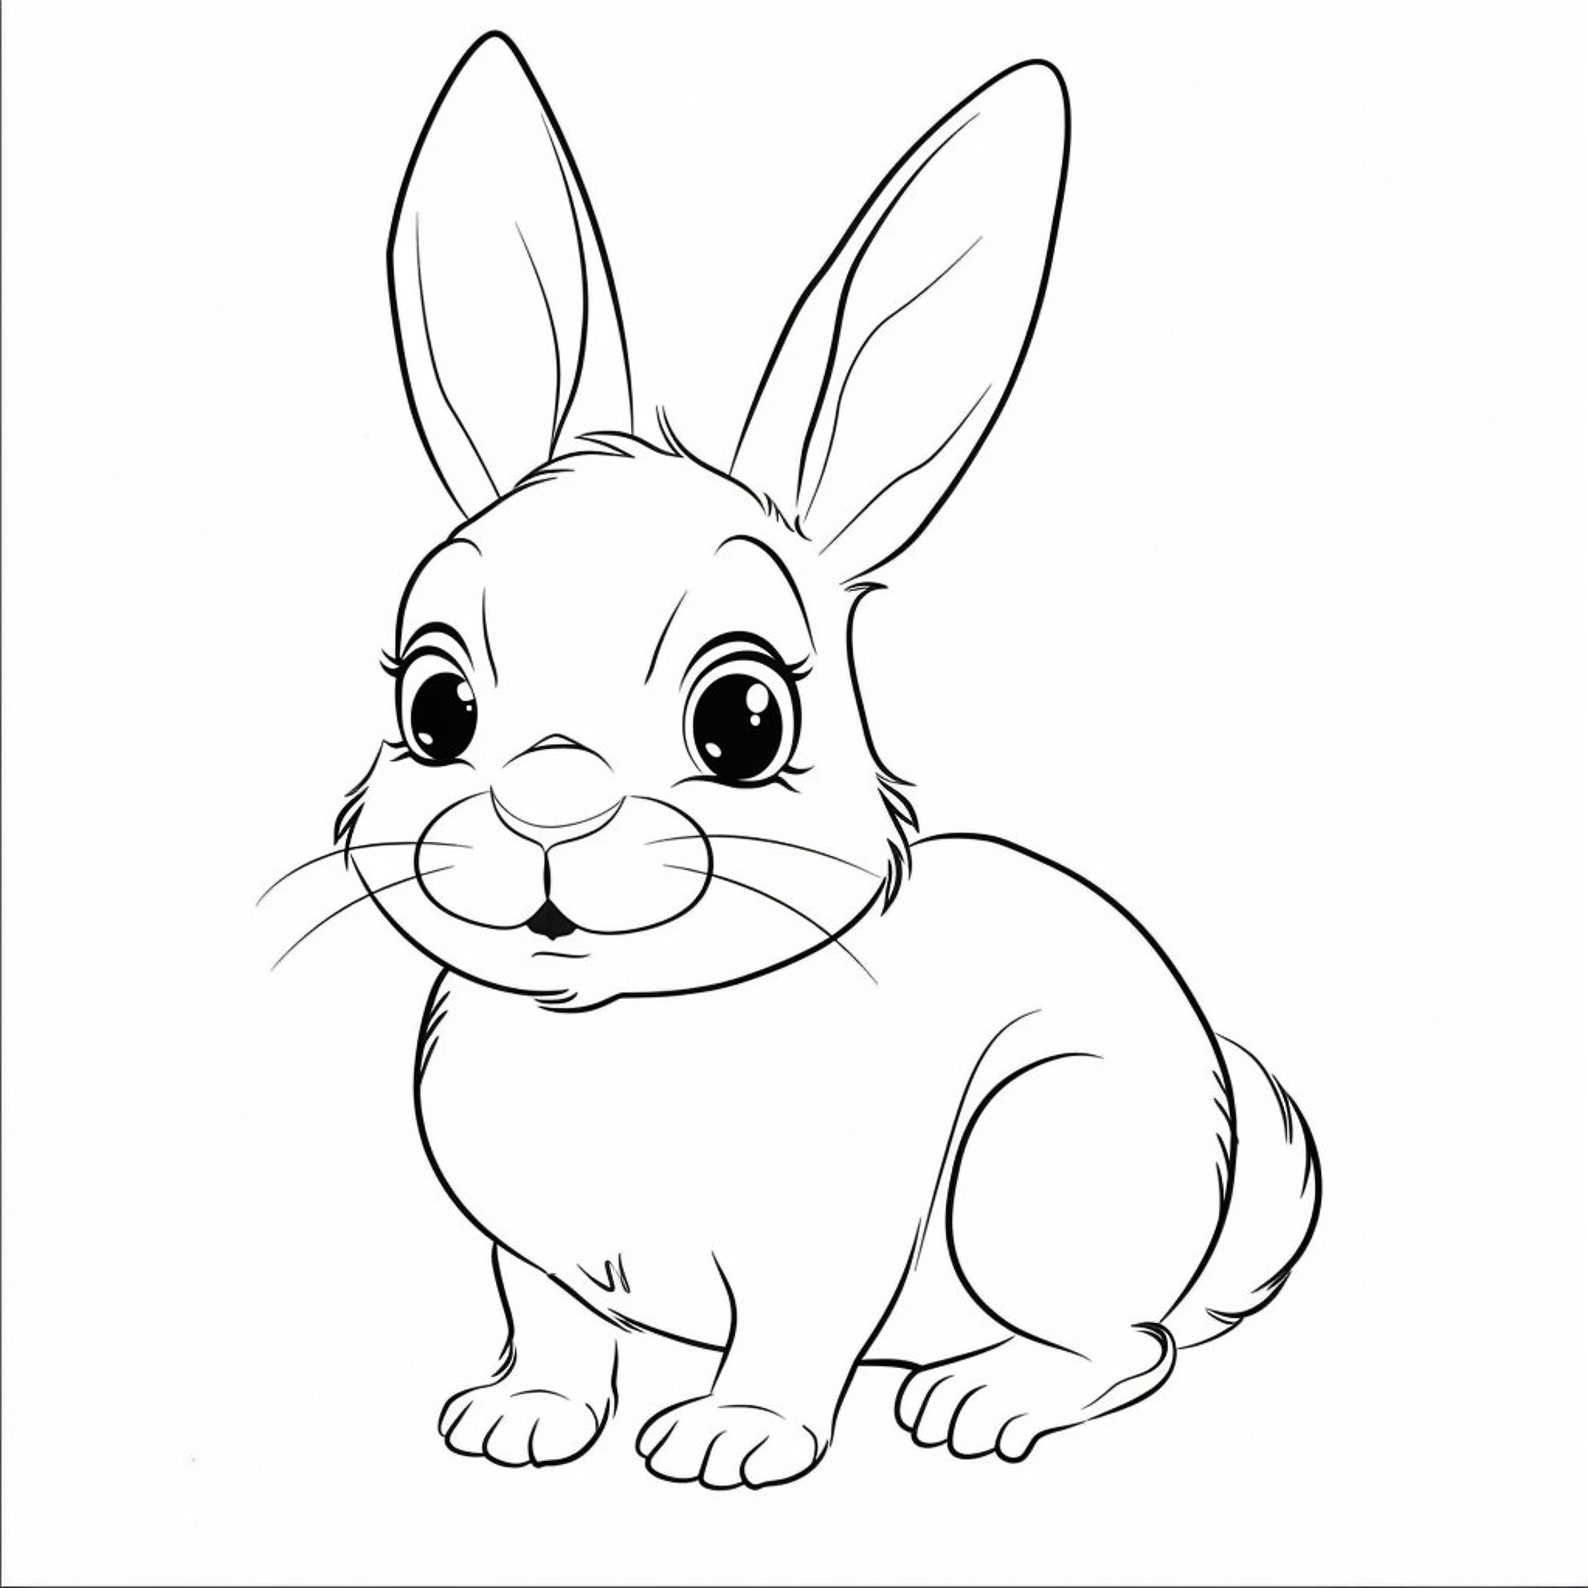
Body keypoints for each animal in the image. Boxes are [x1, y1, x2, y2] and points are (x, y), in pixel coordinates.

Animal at [328, 32, 1321, 1489]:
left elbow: (793, 1339)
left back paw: (983, 1403)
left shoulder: (825, 1249)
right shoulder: (533, 1261)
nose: (546, 804)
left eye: (743, 721)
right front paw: (517, 1424)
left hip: (1036, 1174)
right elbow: (553, 1328)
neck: (615, 1021)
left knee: (1131, 1346)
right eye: (438, 707)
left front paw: (729, 1442)